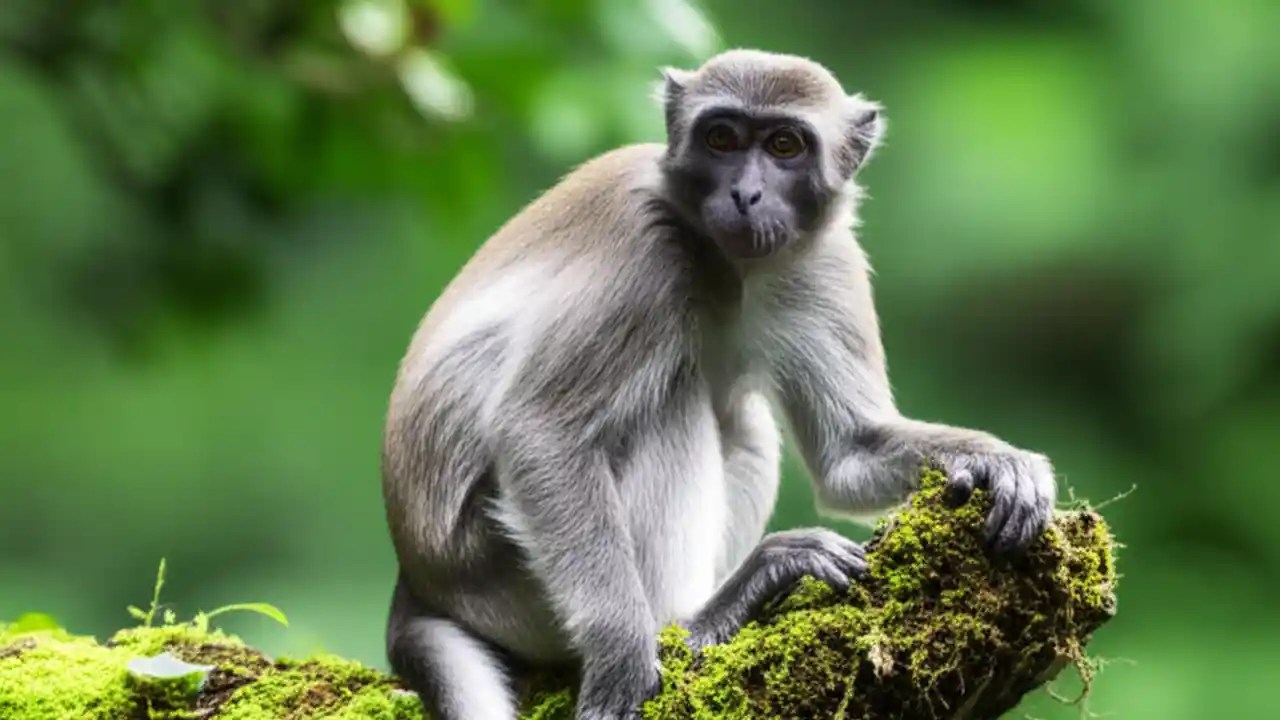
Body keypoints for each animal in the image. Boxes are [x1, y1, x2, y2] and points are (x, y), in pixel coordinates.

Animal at [380, 49, 1056, 720]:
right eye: (722, 138)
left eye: (785, 145)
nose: (746, 193)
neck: (728, 263)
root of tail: (418, 579)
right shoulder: (644, 248)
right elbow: (540, 431)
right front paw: (622, 655)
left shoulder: (824, 257)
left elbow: (849, 455)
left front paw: (997, 462)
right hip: (506, 581)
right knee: (670, 402)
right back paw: (701, 618)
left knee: (744, 424)